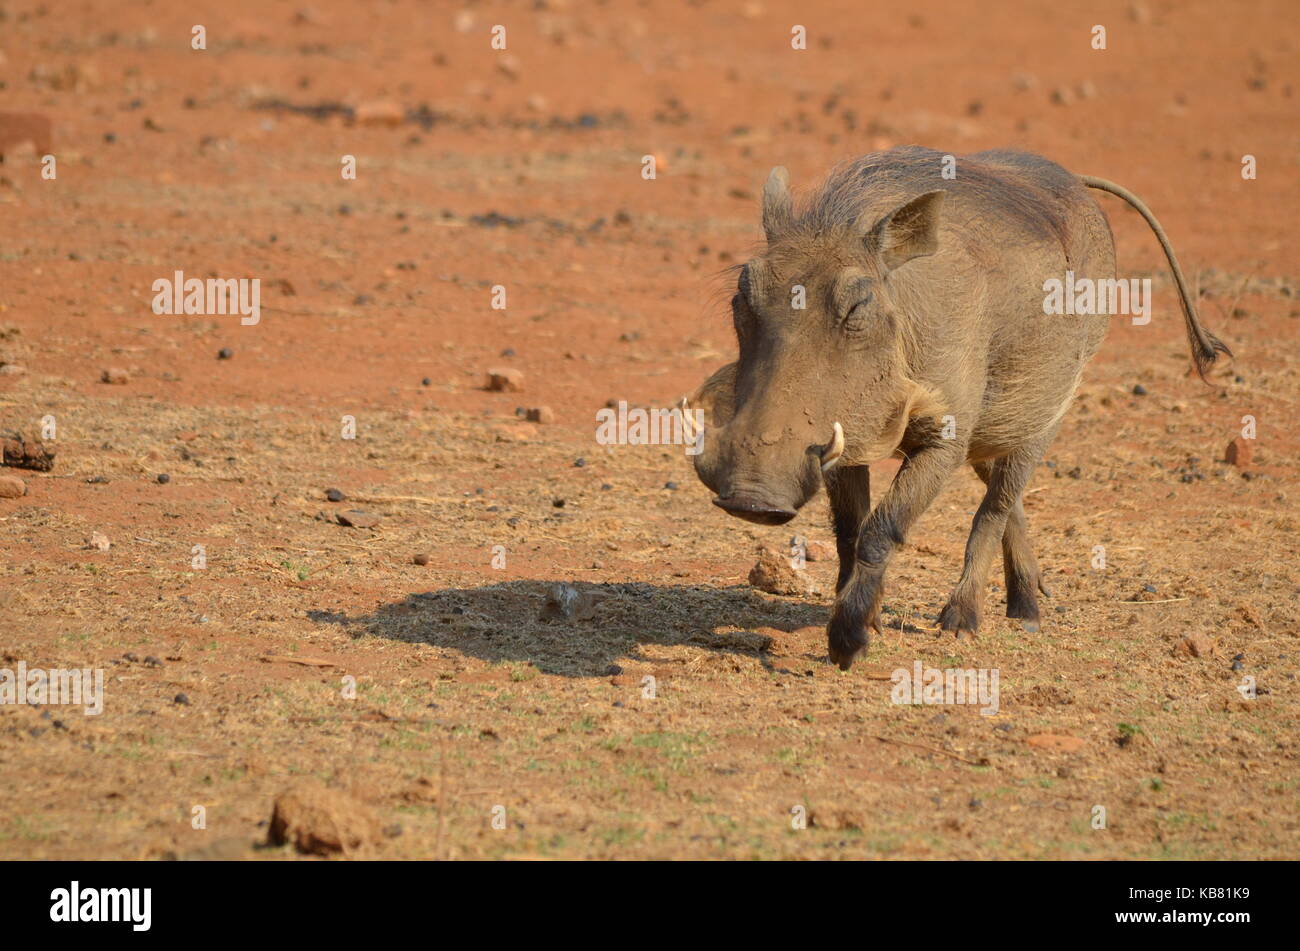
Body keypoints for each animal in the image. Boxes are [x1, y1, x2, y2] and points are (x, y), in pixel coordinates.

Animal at [682, 146, 1229, 669]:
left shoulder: (944, 440)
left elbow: (881, 530)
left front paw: (849, 643)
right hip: (990, 426)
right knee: (1005, 498)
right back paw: (1026, 599)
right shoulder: (846, 440)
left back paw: (972, 618)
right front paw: (865, 620)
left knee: (996, 506)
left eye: (857, 305)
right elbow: (848, 531)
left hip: (1042, 417)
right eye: (742, 294)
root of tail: (1071, 178)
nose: (753, 499)